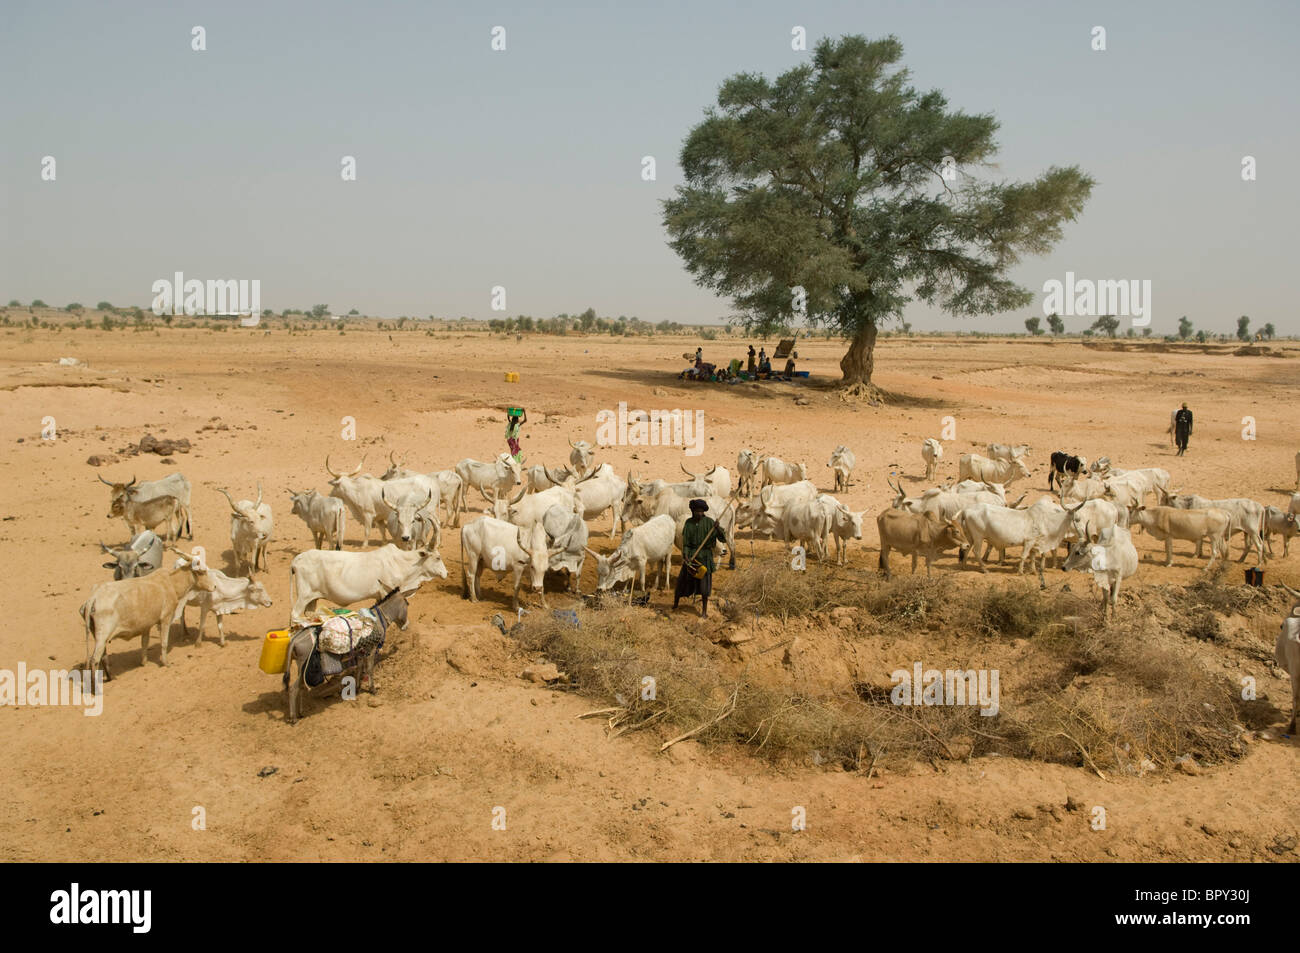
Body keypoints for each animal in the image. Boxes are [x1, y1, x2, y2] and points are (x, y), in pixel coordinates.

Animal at [80, 555, 215, 678]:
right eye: (202, 571)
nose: (213, 586)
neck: (171, 583)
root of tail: (94, 597)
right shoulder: (166, 618)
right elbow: (164, 642)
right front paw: (165, 663)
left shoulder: (146, 625)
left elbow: (144, 643)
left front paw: (144, 663)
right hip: (102, 635)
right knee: (94, 660)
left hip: (97, 634)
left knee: (103, 657)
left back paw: (110, 677)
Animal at [289, 544, 447, 622]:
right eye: (438, 557)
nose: (445, 573)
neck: (401, 563)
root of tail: (297, 560)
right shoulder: (386, 591)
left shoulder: (379, 596)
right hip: (303, 596)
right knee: (295, 615)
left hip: (313, 598)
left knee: (309, 613)